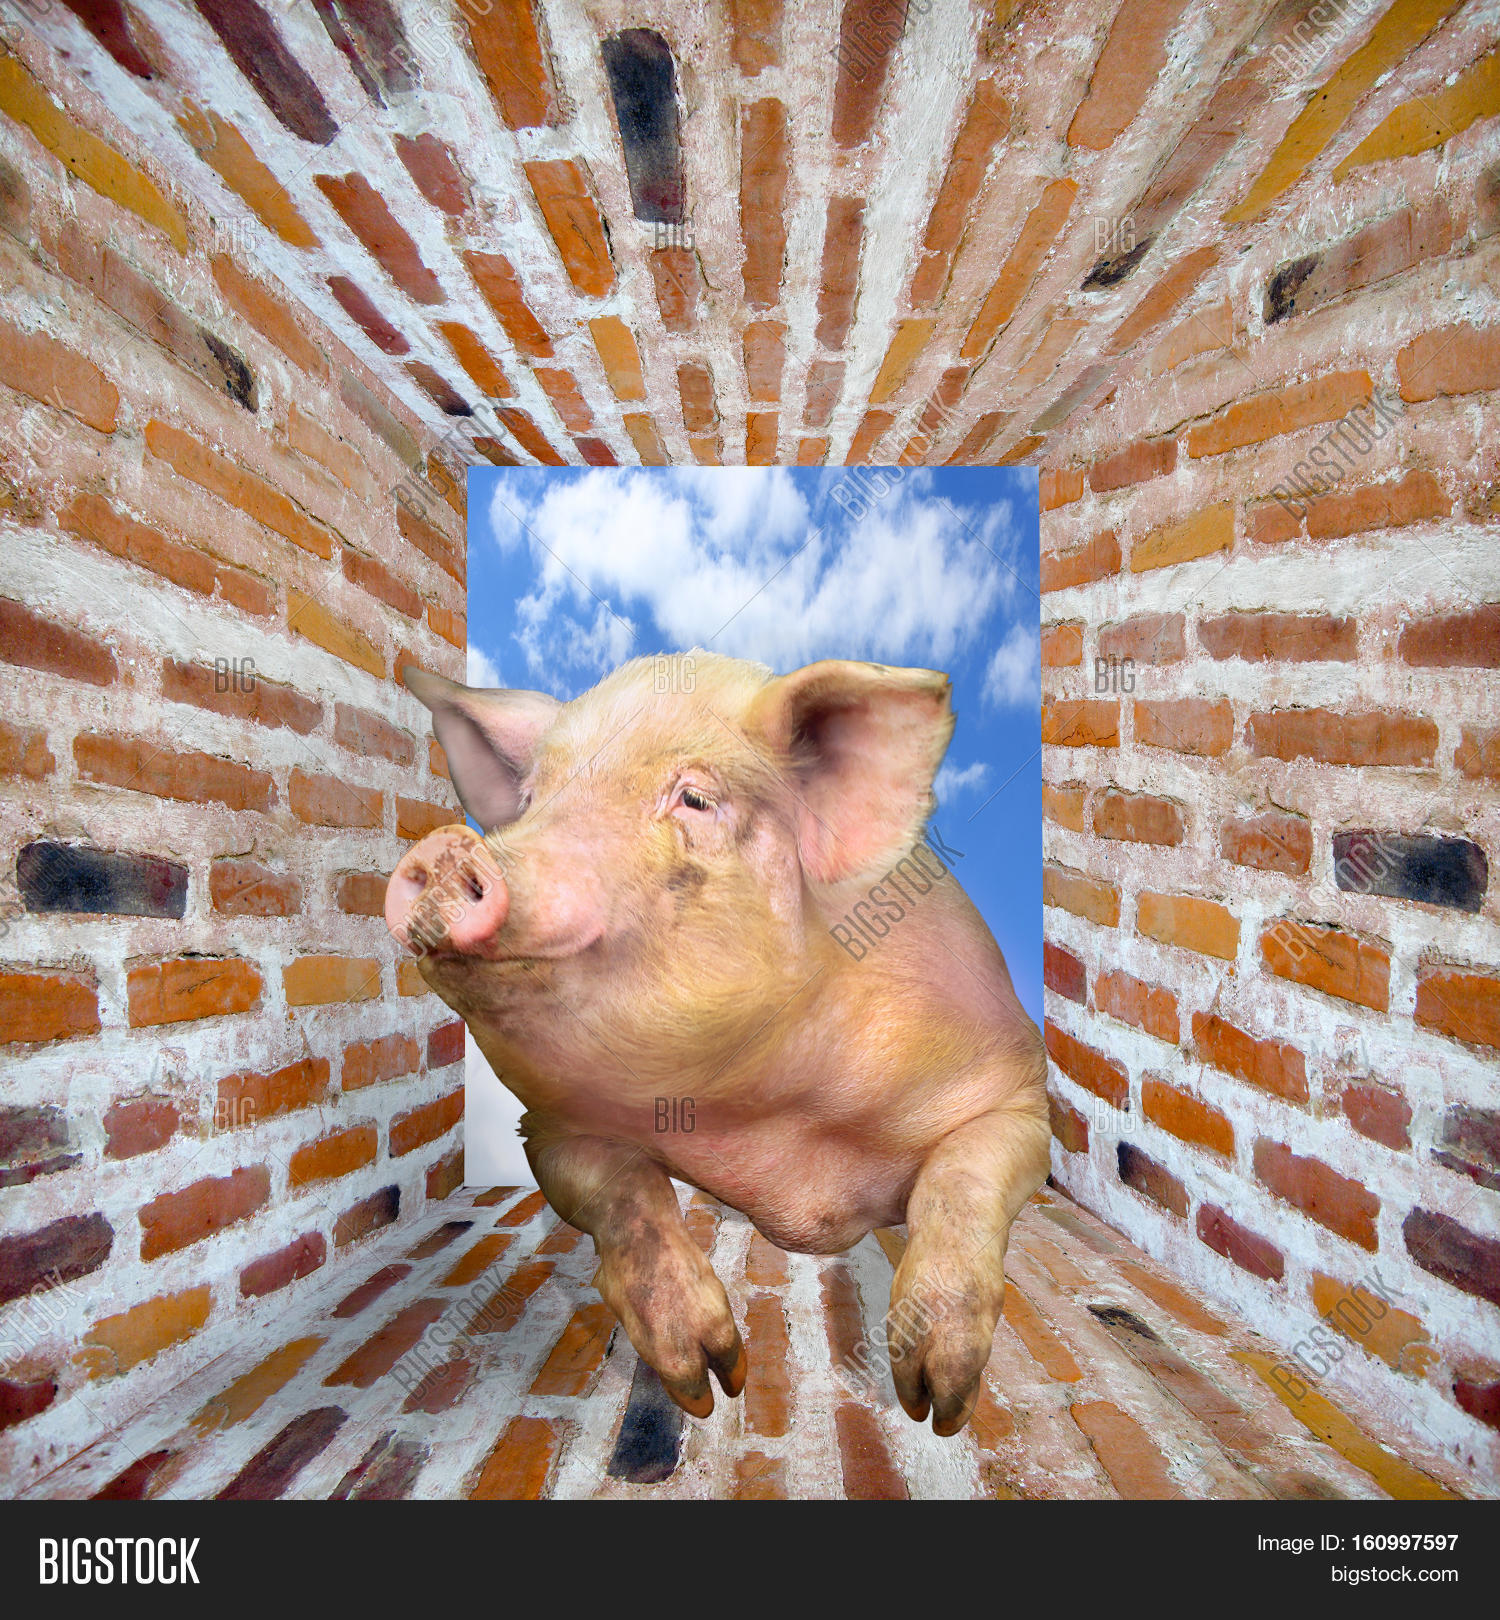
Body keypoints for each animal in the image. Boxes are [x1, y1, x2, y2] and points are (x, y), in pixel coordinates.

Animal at [386, 651, 1048, 1436]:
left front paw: (937, 1409)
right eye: (530, 799)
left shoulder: (1017, 1083)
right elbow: (626, 1198)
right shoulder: (549, 1127)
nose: (444, 848)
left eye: (696, 799)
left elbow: (962, 1178)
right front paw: (714, 1386)